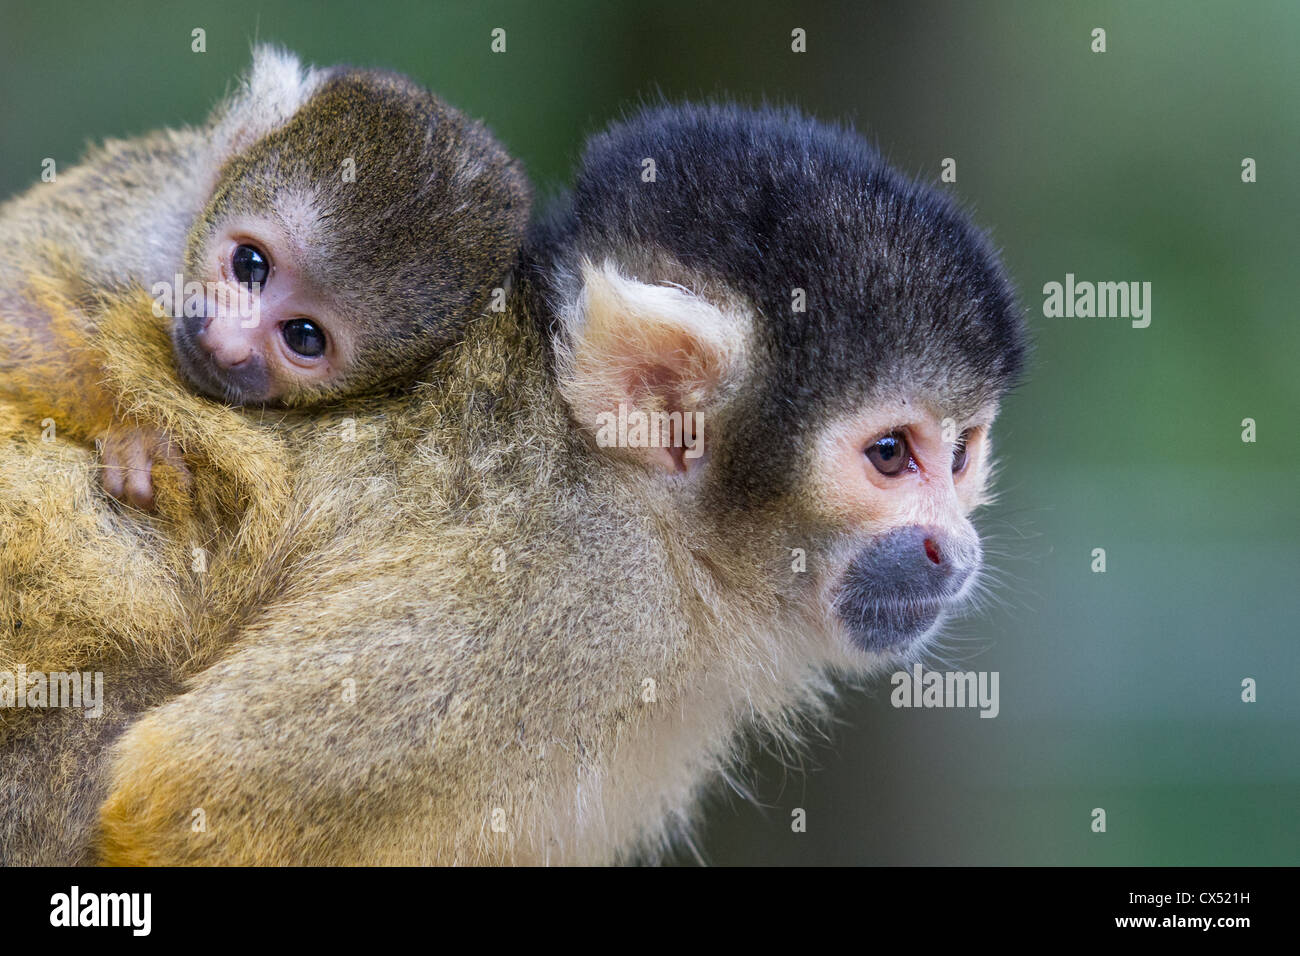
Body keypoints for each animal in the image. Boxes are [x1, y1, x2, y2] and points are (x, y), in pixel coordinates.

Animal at [0, 45, 529, 511]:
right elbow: (14, 281)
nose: (226, 343)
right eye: (250, 265)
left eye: (304, 336)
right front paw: (129, 425)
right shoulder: (154, 212)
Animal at [0, 101, 1027, 864]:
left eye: (961, 452)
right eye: (890, 455)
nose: (953, 547)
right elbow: (186, 798)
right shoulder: (559, 609)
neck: (661, 532)